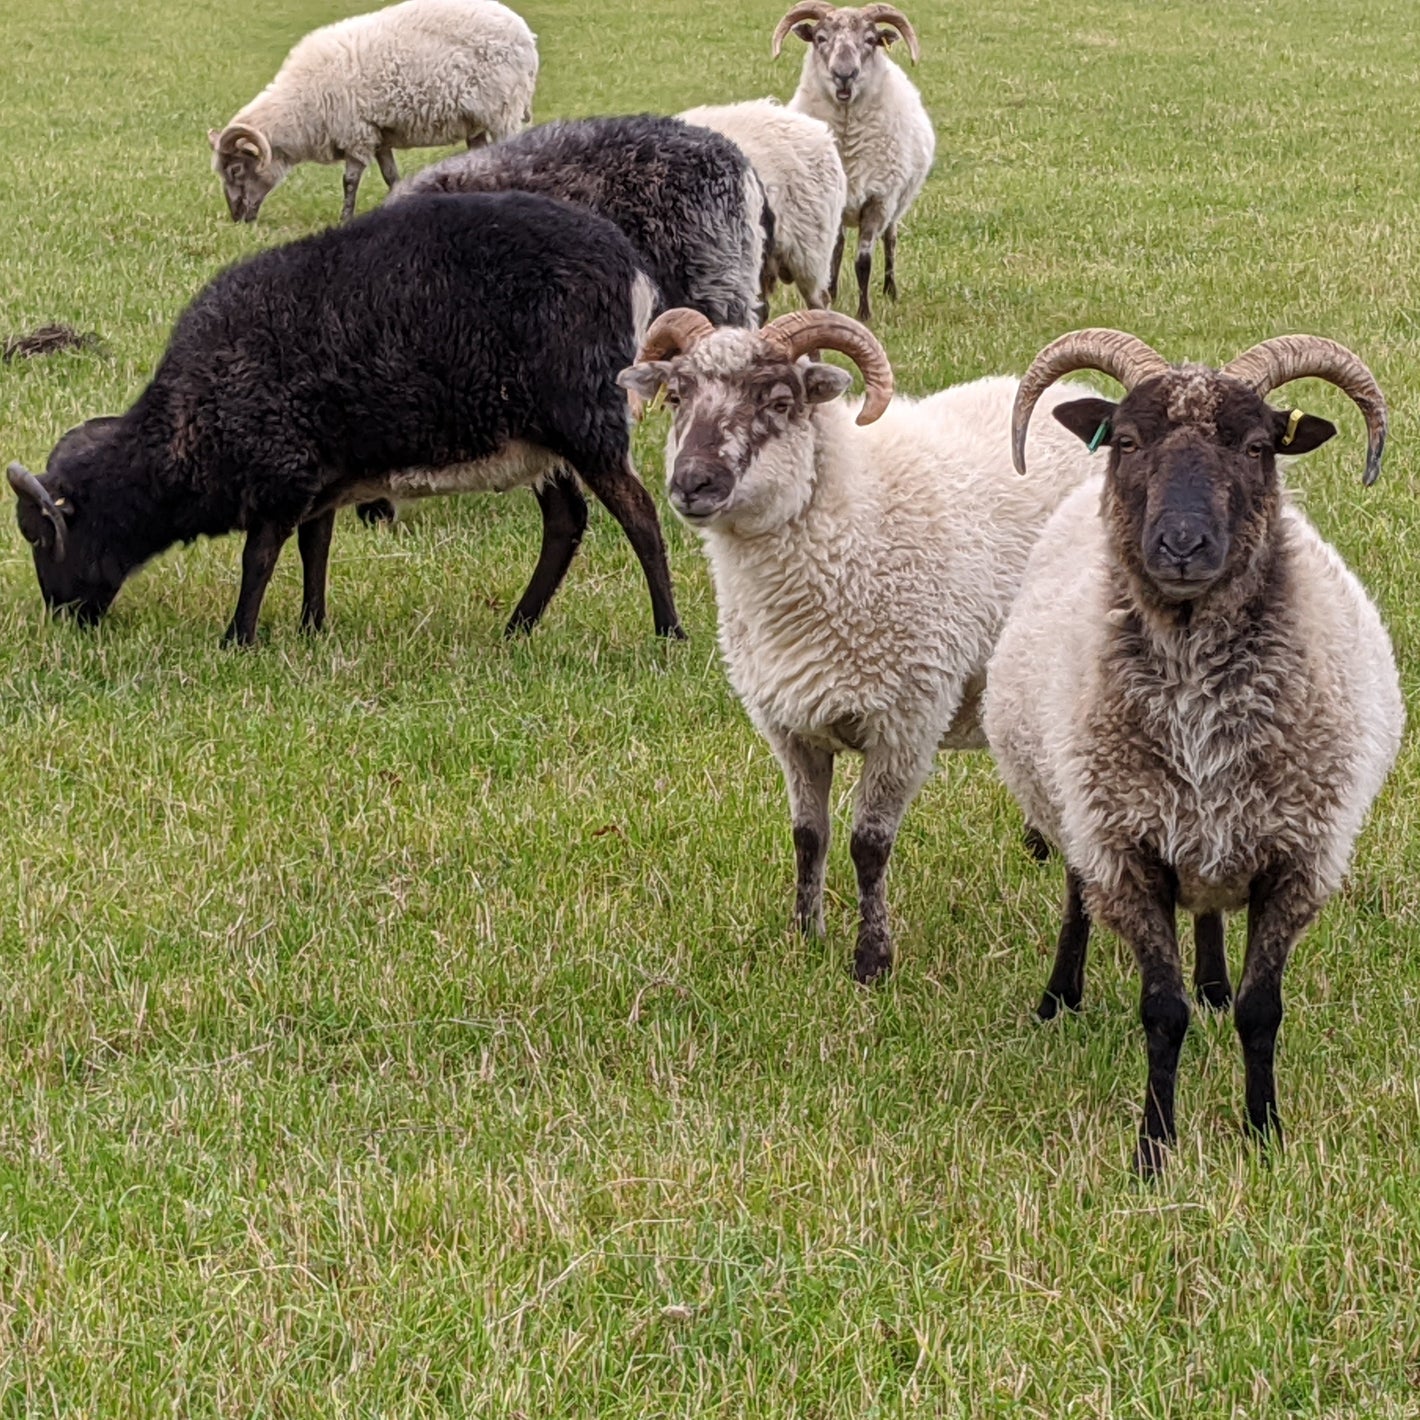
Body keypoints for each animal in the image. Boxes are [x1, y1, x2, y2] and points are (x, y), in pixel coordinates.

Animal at [8, 192, 683, 646]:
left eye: (41, 536)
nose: (64, 616)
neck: (189, 424)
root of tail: (631, 268)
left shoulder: (280, 473)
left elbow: (258, 559)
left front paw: (238, 638)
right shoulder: (321, 475)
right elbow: (316, 547)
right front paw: (312, 626)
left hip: (586, 421)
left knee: (640, 517)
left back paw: (668, 632)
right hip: (539, 442)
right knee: (566, 524)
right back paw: (518, 626)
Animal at [209, 0, 538, 225]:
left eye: (235, 170)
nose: (237, 217)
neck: (300, 104)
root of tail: (525, 34)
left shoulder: (356, 134)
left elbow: (349, 181)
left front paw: (345, 219)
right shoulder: (379, 135)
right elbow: (391, 176)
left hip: (504, 111)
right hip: (477, 123)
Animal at [616, 309, 1101, 982]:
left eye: (779, 401)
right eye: (677, 397)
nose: (692, 483)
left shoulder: (906, 723)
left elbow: (868, 845)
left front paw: (872, 960)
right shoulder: (788, 727)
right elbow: (808, 836)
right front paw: (804, 938)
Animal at [773, 3, 935, 324]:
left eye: (870, 40)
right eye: (820, 38)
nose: (844, 74)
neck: (847, 146)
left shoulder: (878, 200)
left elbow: (863, 261)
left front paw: (864, 313)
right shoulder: (830, 200)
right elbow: (835, 251)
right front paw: (831, 295)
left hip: (897, 202)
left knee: (891, 239)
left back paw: (890, 290)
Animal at [983, 328, 1402, 1175]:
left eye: (1256, 446)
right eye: (1128, 440)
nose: (1181, 545)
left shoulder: (1295, 859)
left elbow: (1262, 1010)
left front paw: (1264, 1133)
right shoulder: (1126, 853)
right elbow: (1161, 1013)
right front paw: (1153, 1150)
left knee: (1209, 911)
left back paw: (1212, 982)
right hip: (1074, 808)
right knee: (1076, 900)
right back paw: (1058, 998)